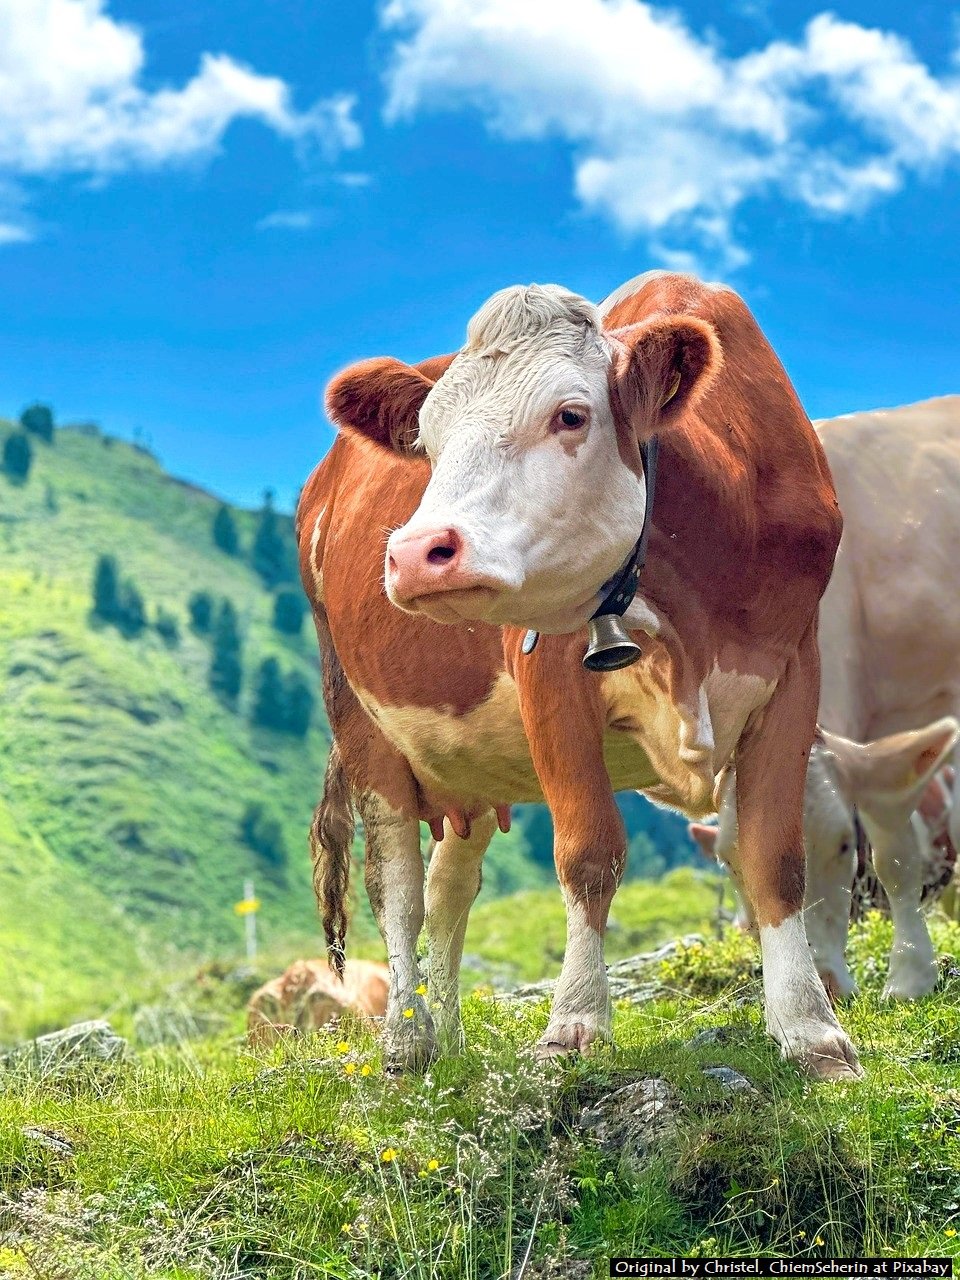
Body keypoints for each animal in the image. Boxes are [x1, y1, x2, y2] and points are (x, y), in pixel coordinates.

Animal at [298, 270, 860, 1080]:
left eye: (570, 415)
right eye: (426, 443)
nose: (414, 553)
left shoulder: (792, 672)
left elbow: (774, 856)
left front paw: (811, 1032)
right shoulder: (550, 676)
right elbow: (589, 853)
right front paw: (574, 1024)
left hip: (471, 762)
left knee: (449, 887)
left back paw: (450, 1039)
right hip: (360, 722)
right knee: (398, 885)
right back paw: (406, 1042)